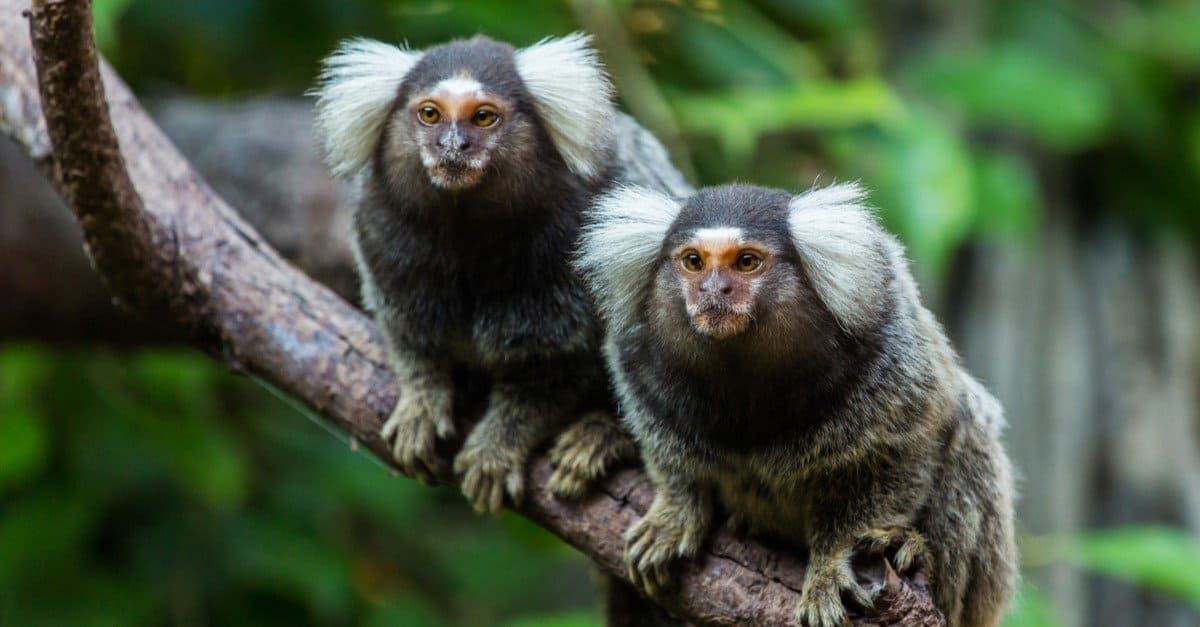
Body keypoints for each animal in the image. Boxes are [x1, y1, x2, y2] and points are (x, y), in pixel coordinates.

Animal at [310, 33, 691, 514]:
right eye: (430, 114)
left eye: (484, 117)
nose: (453, 146)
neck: (468, 231)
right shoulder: (384, 235)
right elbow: (411, 338)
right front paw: (421, 401)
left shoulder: (575, 248)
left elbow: (557, 367)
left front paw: (497, 446)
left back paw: (603, 436)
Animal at [575, 182, 1017, 626]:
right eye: (693, 262)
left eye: (747, 262)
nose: (714, 291)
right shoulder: (637, 356)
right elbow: (666, 446)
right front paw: (676, 509)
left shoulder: (891, 350)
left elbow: (899, 456)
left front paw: (831, 566)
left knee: (969, 425)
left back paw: (911, 547)